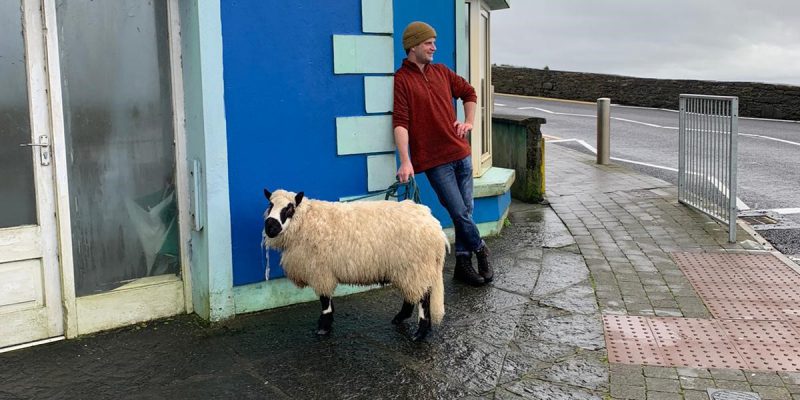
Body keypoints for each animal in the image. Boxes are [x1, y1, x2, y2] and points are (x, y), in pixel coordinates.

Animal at [262, 188, 448, 341]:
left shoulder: (321, 271)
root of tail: (436, 228)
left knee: (423, 297)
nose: (270, 227)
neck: (305, 222)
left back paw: (420, 332)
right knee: (412, 295)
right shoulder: (324, 271)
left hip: (415, 266)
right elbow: (328, 300)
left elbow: (324, 300)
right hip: (409, 269)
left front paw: (324, 327)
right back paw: (400, 318)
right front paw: (327, 322)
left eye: (289, 208)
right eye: (270, 205)